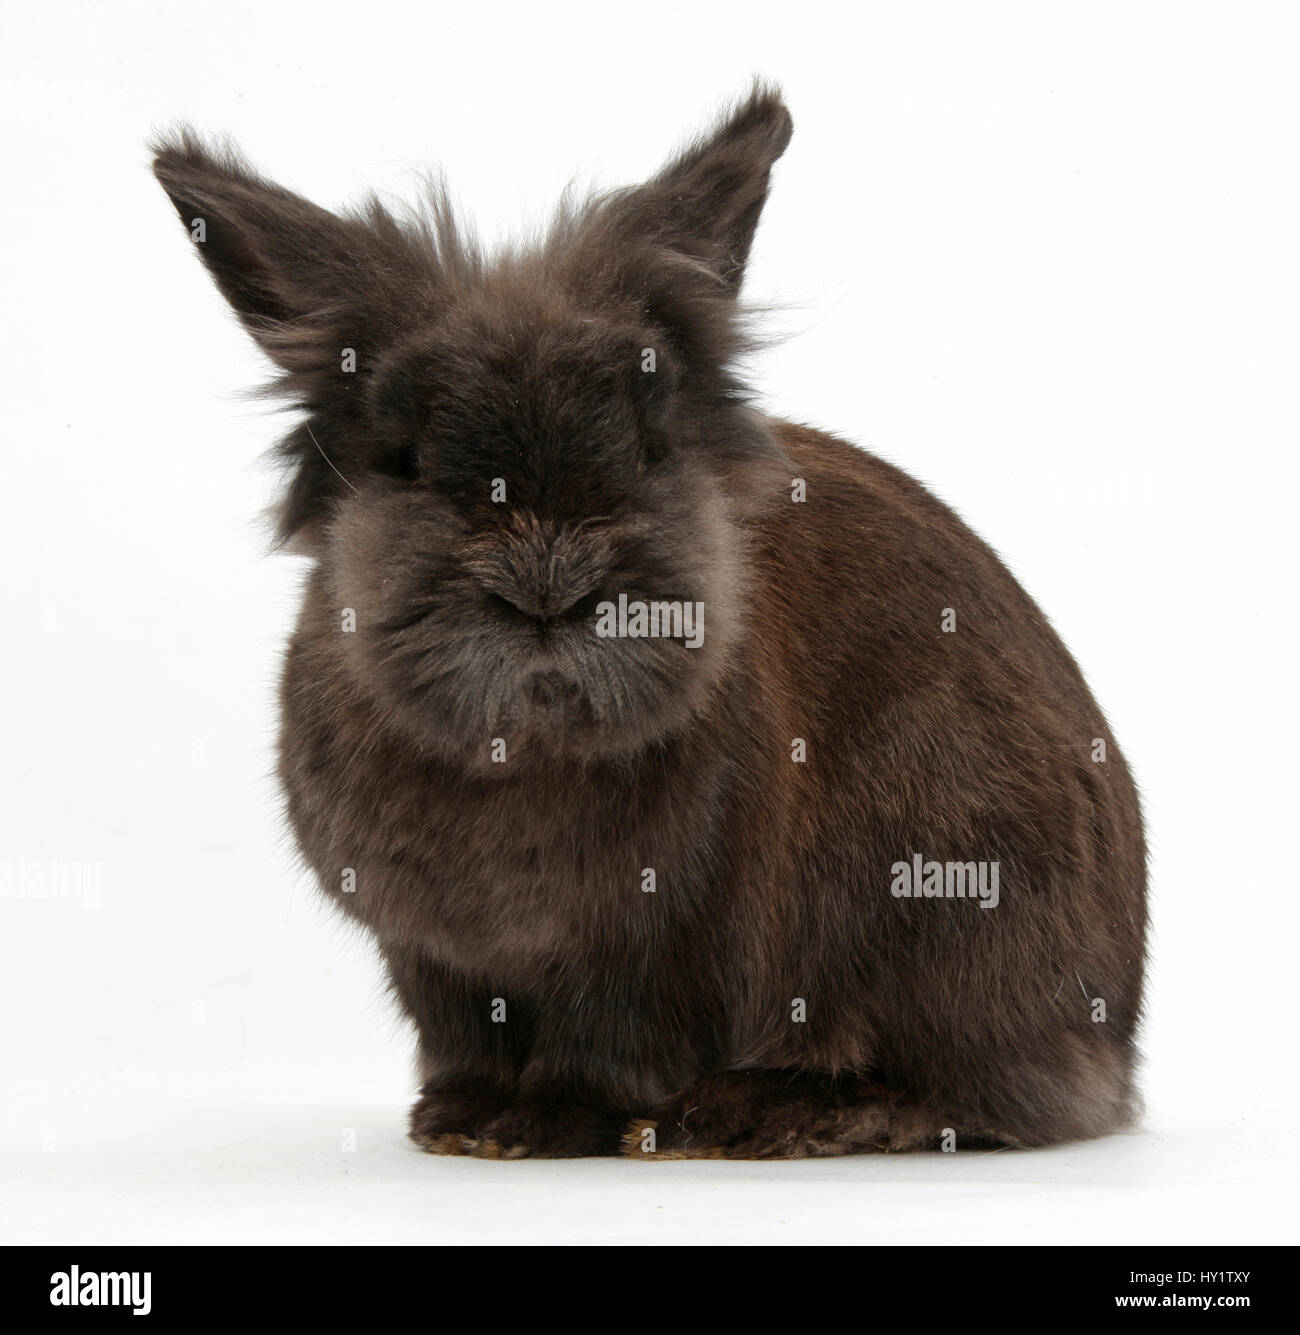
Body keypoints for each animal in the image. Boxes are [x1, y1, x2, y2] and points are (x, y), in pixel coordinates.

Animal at [151, 83, 1146, 1159]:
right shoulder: (431, 959)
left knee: (969, 1092)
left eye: (647, 441)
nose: (546, 586)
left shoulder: (654, 950)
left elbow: (604, 1045)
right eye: (404, 459)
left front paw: (536, 1126)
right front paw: (457, 1122)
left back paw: (750, 1114)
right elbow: (465, 1033)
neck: (526, 746)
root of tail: (1115, 1044)